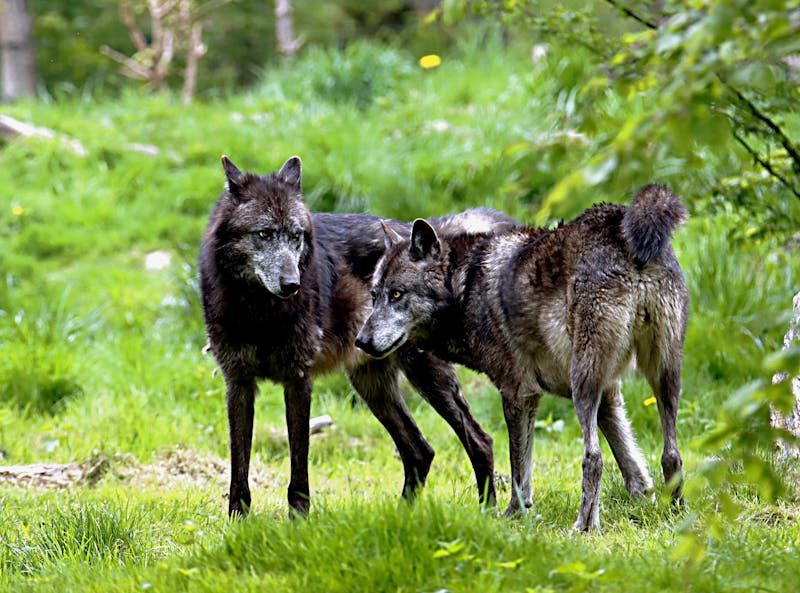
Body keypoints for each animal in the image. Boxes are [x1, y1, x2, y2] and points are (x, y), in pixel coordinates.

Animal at [199, 155, 518, 518]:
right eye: (264, 233)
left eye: (296, 236)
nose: (292, 284)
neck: (257, 313)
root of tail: (426, 236)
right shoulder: (238, 383)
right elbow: (239, 464)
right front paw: (238, 522)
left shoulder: (298, 380)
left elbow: (299, 464)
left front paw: (299, 521)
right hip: (372, 385)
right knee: (420, 451)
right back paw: (401, 518)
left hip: (424, 377)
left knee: (480, 441)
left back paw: (487, 514)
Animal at [356, 185, 689, 531]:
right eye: (374, 296)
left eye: (397, 294)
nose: (360, 341)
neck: (465, 287)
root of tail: (617, 223)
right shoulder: (609, 393)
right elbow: (632, 465)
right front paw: (646, 505)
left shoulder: (519, 393)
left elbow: (520, 470)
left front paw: (513, 515)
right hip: (664, 376)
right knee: (671, 453)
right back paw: (676, 511)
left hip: (583, 386)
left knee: (593, 458)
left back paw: (582, 527)